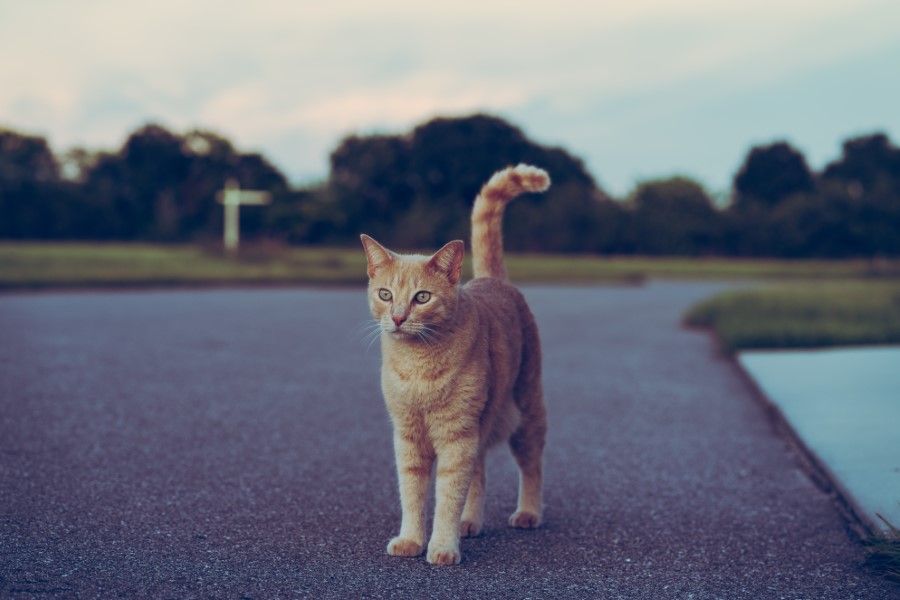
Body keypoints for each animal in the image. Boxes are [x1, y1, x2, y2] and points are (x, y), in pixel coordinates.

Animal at [358, 165, 548, 568]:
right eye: (385, 294)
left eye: (421, 297)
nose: (398, 317)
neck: (417, 365)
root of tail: (492, 279)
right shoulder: (409, 436)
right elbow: (413, 493)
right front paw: (412, 540)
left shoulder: (456, 436)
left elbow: (447, 495)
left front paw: (442, 546)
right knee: (480, 475)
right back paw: (470, 522)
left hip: (526, 411)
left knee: (531, 466)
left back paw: (528, 513)